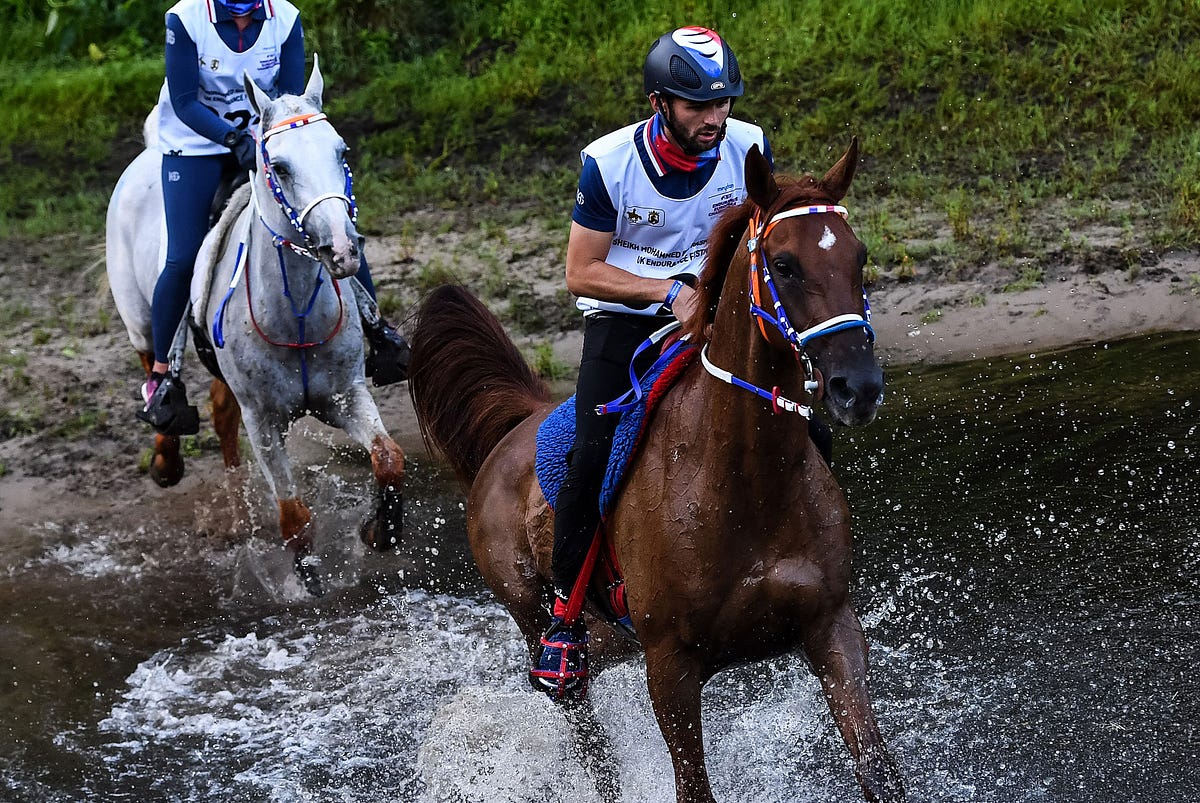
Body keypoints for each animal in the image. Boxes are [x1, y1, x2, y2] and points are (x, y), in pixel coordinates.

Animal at [105, 57, 405, 596]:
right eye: (280, 167)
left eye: (342, 151)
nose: (344, 249)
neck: (296, 314)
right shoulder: (264, 421)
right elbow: (294, 516)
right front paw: (309, 589)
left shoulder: (345, 396)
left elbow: (389, 459)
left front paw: (378, 531)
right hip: (138, 321)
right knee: (154, 369)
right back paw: (165, 456)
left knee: (221, 412)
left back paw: (237, 507)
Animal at [407, 139, 904, 802]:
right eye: (785, 264)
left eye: (859, 256)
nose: (859, 386)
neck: (742, 482)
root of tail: (516, 428)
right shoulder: (669, 670)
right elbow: (693, 787)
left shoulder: (831, 627)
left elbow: (877, 770)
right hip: (542, 627)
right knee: (586, 734)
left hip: (612, 635)